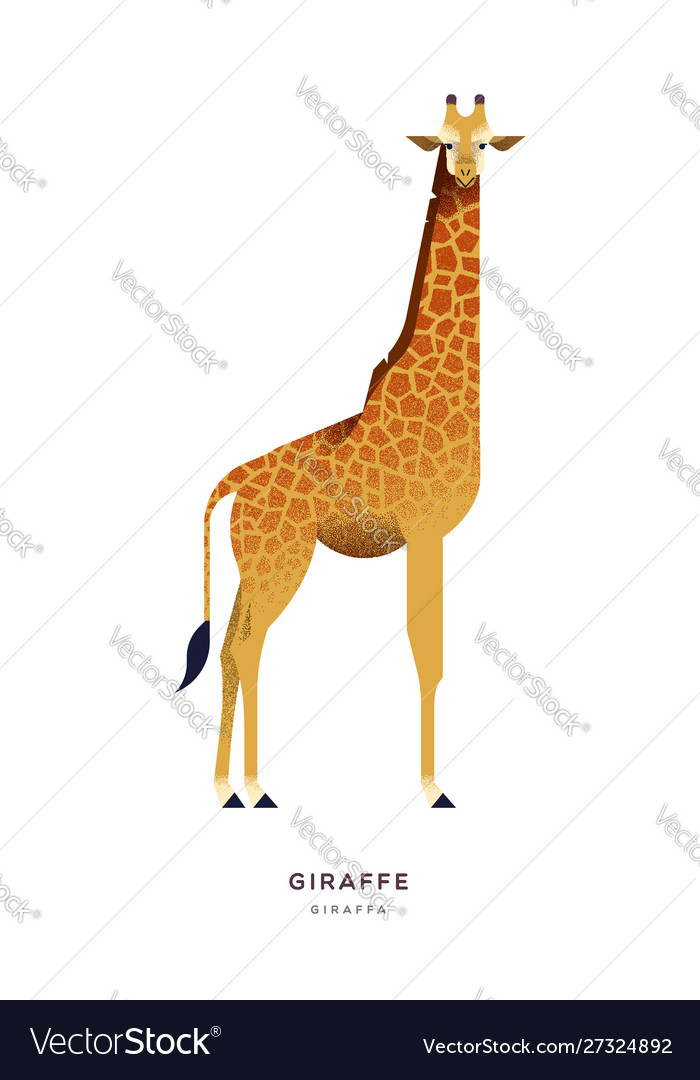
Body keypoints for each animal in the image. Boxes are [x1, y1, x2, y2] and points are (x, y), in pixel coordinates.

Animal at [178, 94, 523, 809]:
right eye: (444, 142)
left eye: (486, 141)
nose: (467, 174)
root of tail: (233, 482)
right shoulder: (425, 531)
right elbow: (428, 654)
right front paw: (432, 790)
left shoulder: (429, 537)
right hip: (280, 562)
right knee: (247, 647)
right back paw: (247, 787)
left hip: (258, 565)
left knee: (231, 647)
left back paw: (234, 787)